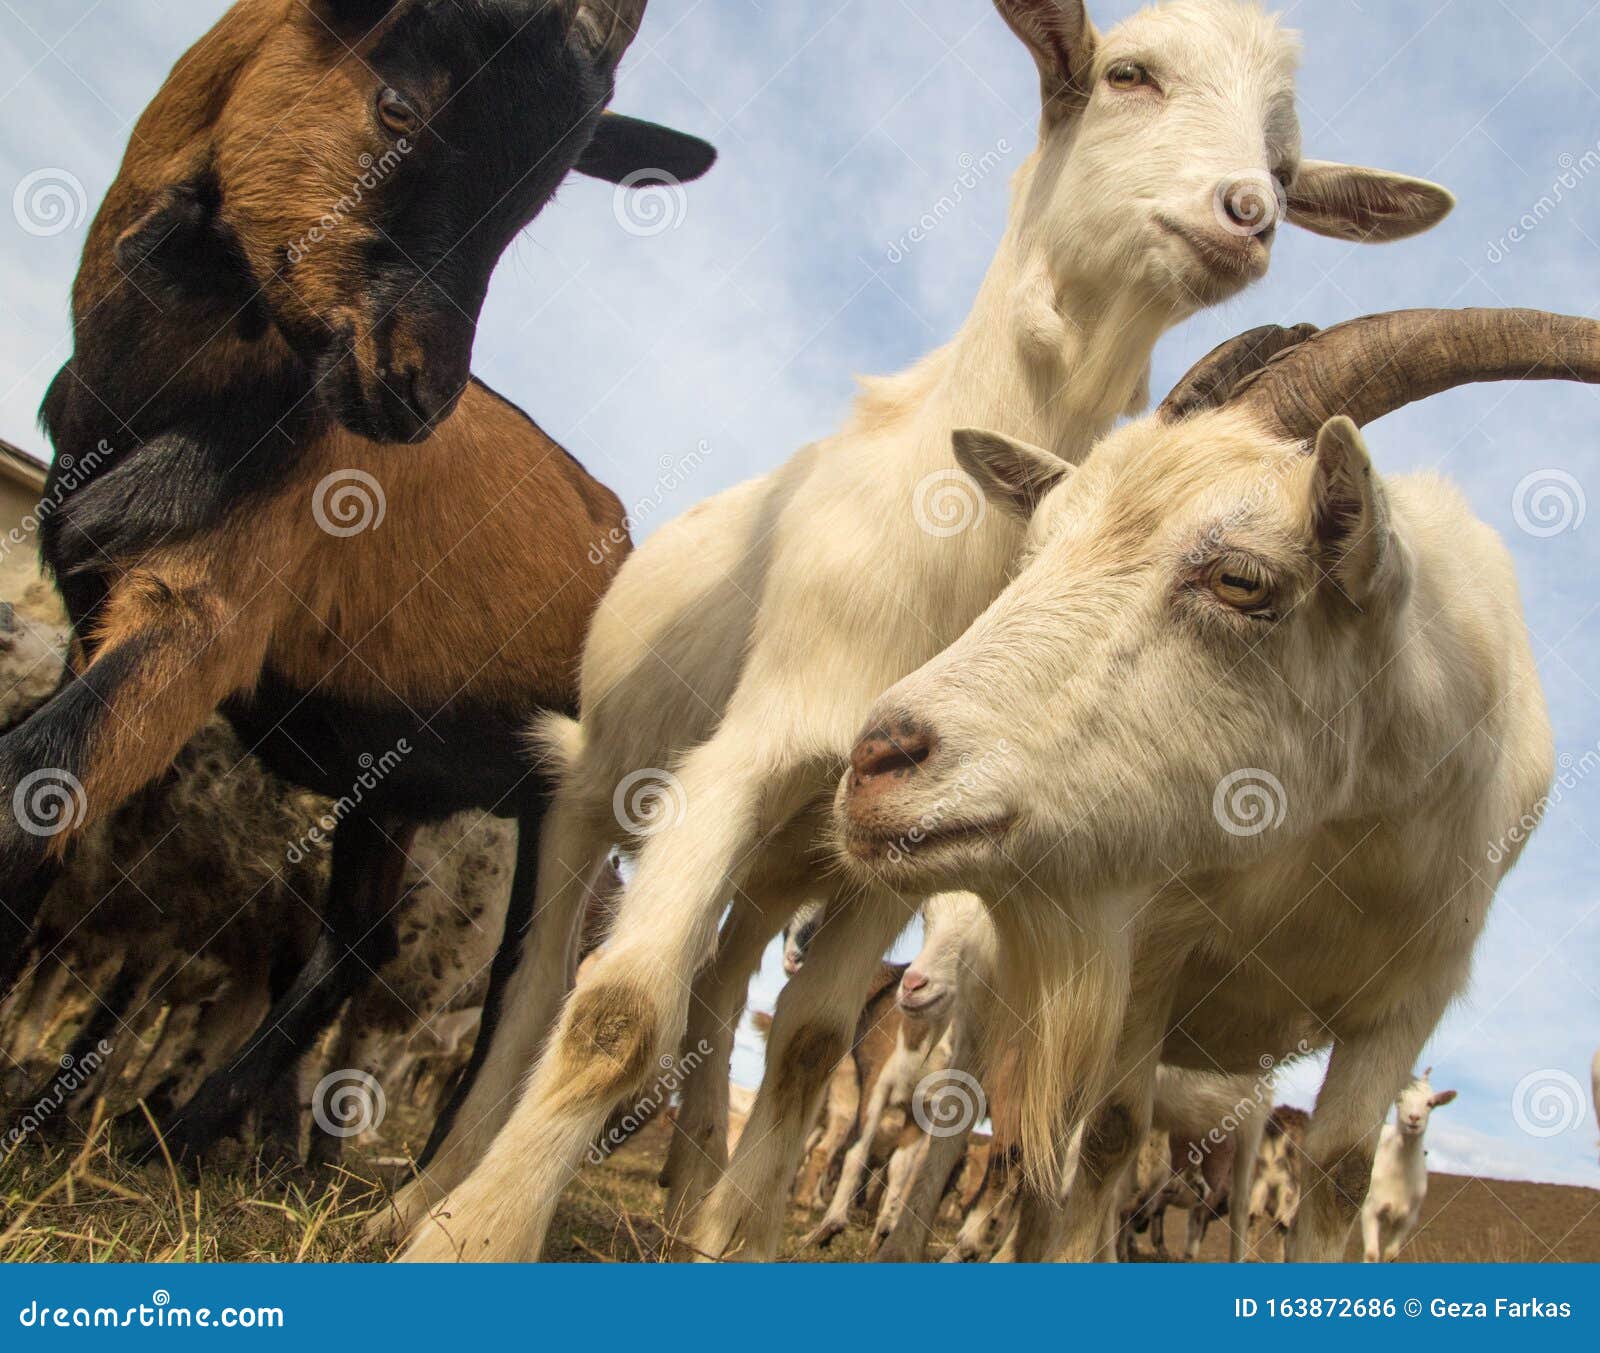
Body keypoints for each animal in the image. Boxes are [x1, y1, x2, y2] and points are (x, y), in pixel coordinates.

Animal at [2, 0, 713, 1161]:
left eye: (541, 191)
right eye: (400, 106)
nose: (419, 390)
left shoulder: (206, 614)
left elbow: (24, 790)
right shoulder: (92, 610)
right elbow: (44, 811)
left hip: (569, 794)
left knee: (526, 982)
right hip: (399, 776)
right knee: (359, 943)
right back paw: (184, 1139)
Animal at [1361, 1070, 1456, 1262]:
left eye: (1430, 1103)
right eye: (1400, 1099)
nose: (1414, 1118)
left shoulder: (1406, 1219)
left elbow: (1391, 1255)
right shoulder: (1370, 1209)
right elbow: (1371, 1254)